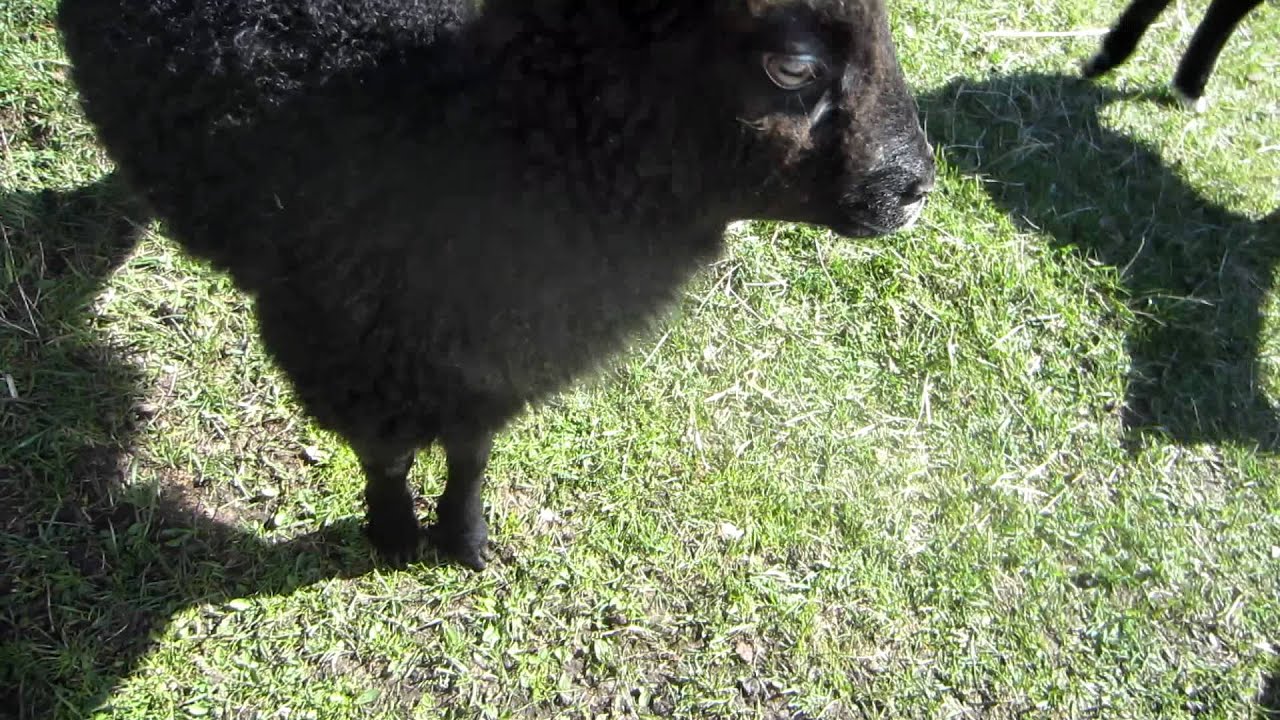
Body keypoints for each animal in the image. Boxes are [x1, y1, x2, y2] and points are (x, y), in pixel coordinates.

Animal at [57, 0, 936, 570]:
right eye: (794, 65)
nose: (916, 188)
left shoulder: (496, 355)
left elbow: (472, 450)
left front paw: (464, 541)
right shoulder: (340, 349)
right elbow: (387, 455)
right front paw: (393, 538)